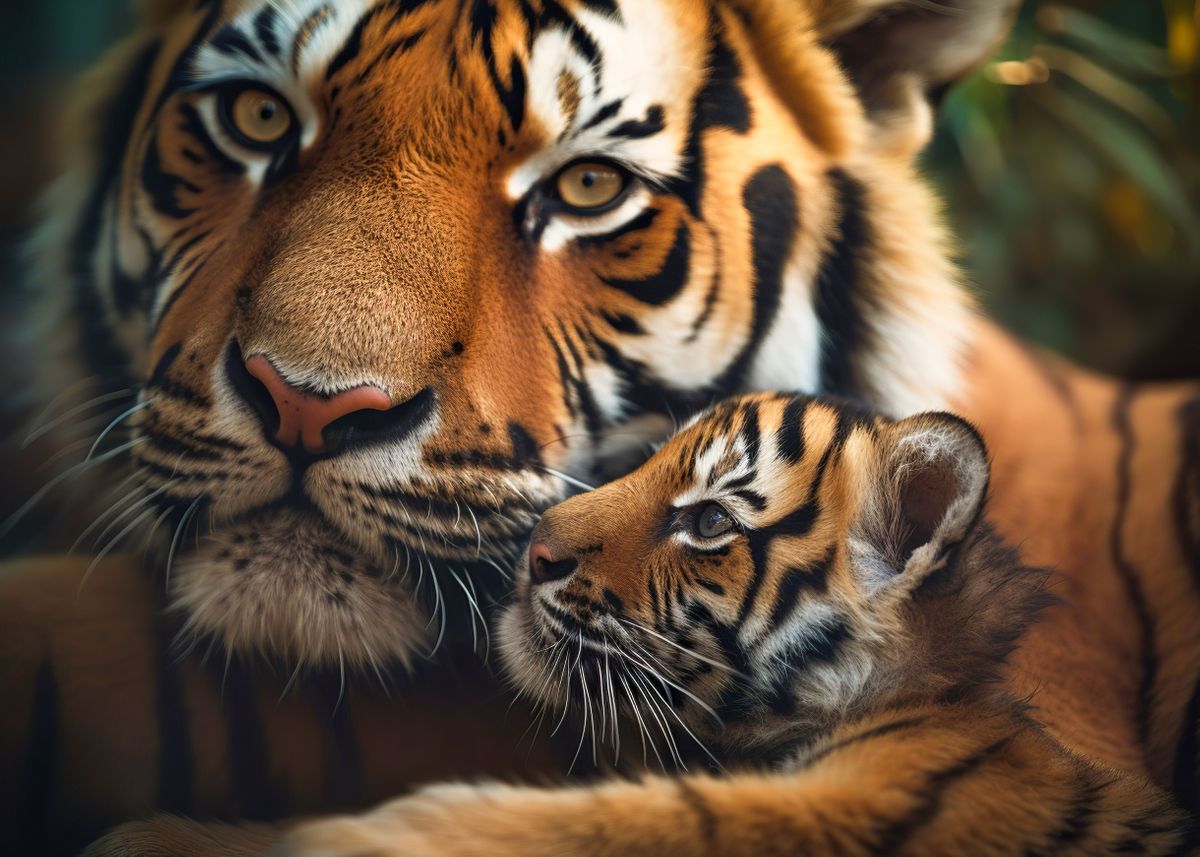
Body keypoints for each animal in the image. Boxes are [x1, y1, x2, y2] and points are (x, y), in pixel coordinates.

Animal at [265, 392, 1199, 856]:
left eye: (709, 521)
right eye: (647, 464)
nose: (535, 548)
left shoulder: (868, 804)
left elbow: (651, 817)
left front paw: (361, 834)